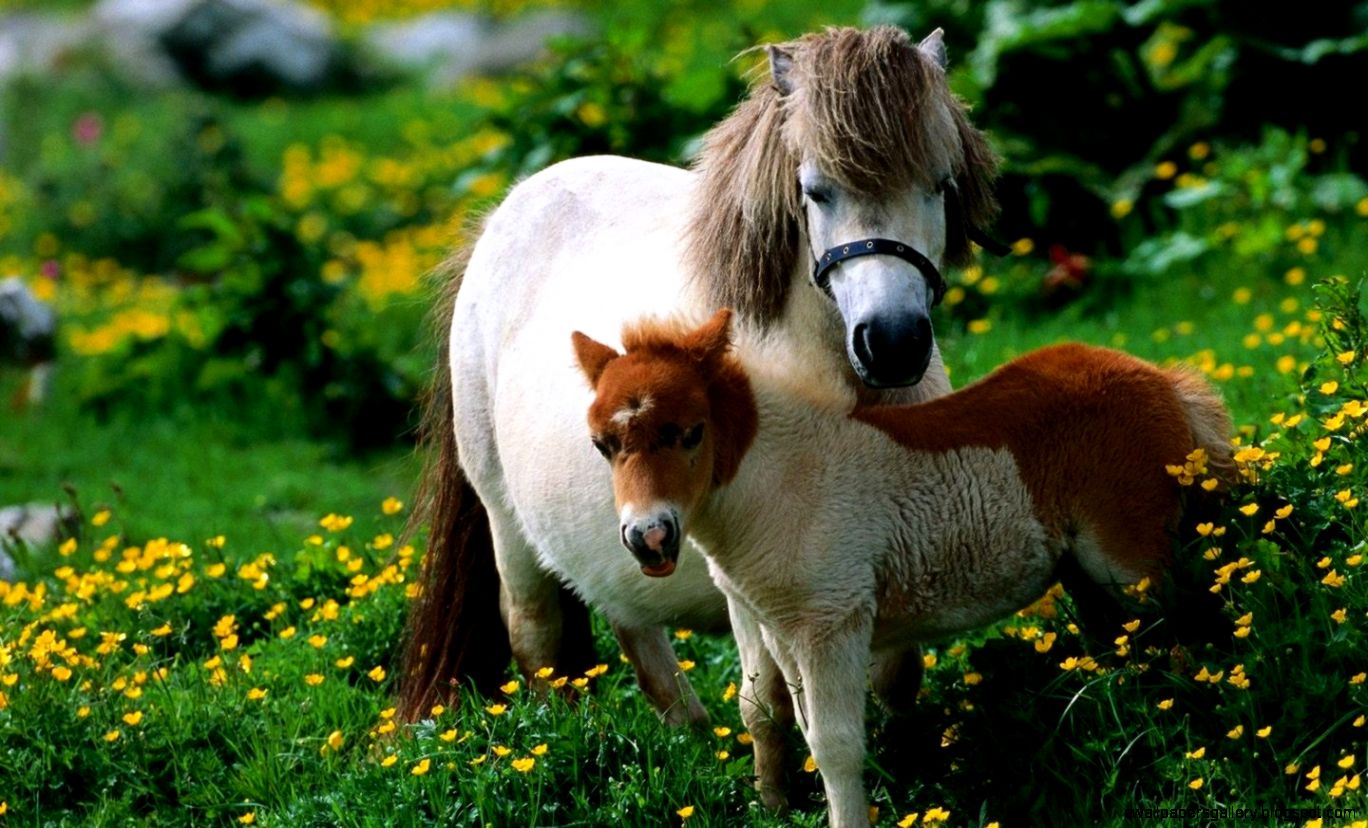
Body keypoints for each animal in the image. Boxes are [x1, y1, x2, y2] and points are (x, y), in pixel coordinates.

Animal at [398, 25, 1002, 724]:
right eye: (816, 190)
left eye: (940, 184)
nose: (894, 342)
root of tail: (502, 217)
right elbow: (776, 700)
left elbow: (897, 674)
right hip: (507, 523)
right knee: (537, 636)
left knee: (631, 622)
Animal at [572, 309, 1234, 826]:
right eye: (603, 446)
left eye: (690, 433)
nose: (649, 538)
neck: (780, 479)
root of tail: (1162, 379)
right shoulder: (782, 629)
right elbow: (798, 726)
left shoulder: (833, 622)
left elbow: (837, 745)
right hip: (1088, 574)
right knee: (1129, 642)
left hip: (1133, 562)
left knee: (1189, 636)